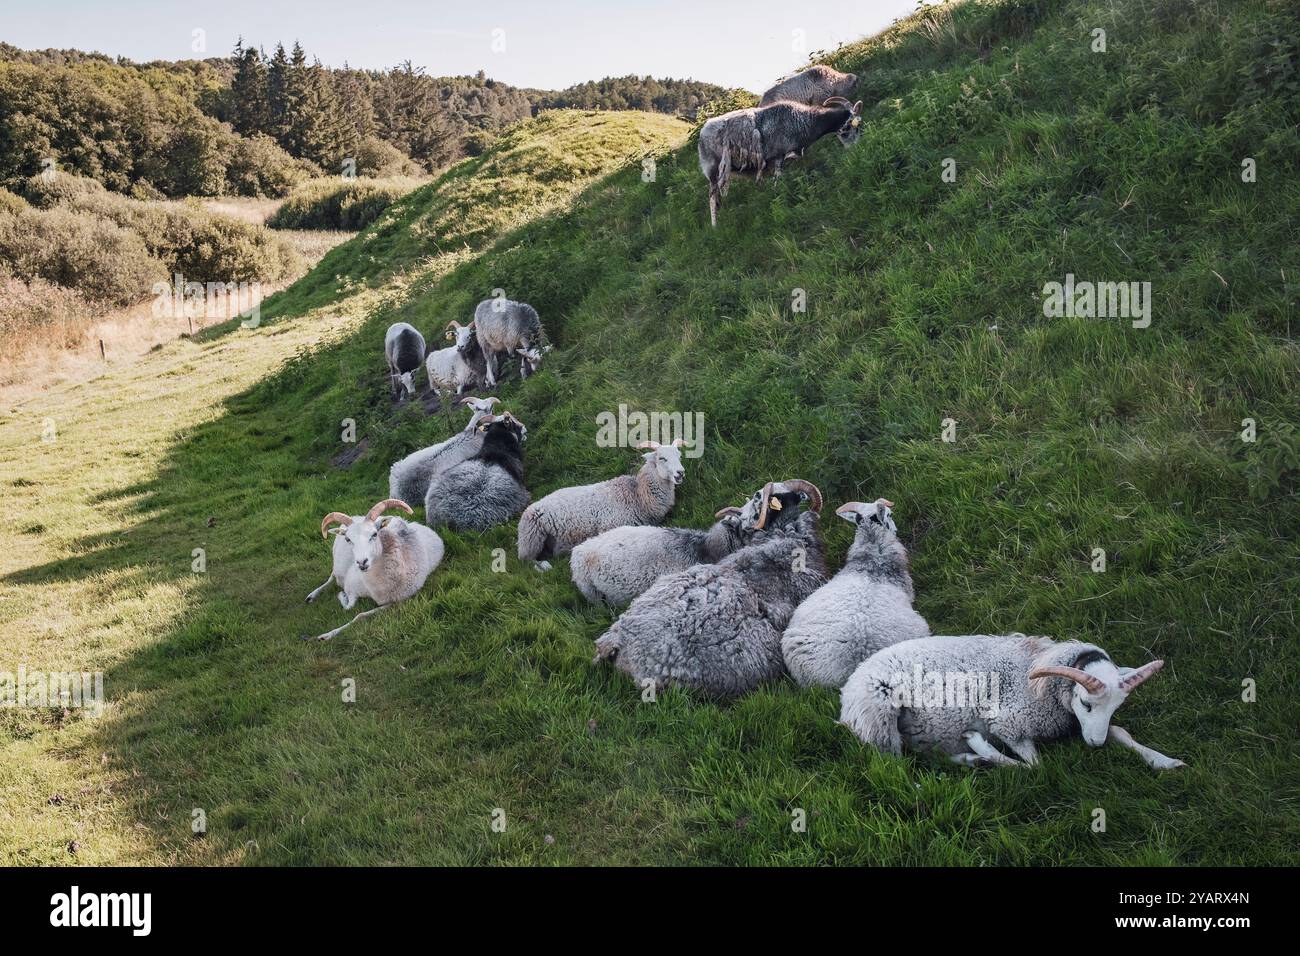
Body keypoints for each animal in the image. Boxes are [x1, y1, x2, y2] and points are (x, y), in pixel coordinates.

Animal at [305, 499, 444, 642]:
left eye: (374, 534)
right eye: (348, 539)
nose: (362, 562)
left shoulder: (396, 602)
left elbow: (359, 615)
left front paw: (328, 633)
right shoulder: (351, 585)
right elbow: (349, 607)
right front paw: (327, 634)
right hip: (338, 565)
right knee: (332, 576)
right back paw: (312, 595)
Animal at [517, 439, 686, 572]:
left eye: (679, 456)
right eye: (662, 458)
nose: (680, 473)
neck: (638, 495)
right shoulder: (610, 526)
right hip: (531, 536)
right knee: (526, 561)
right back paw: (544, 566)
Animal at [698, 96, 864, 227]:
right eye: (850, 126)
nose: (855, 149)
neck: (804, 120)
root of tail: (701, 135)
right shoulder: (778, 156)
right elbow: (778, 180)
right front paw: (779, 200)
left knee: (717, 198)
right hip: (713, 169)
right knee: (712, 197)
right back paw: (715, 226)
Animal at [838, 634, 1187, 771]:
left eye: (1115, 707)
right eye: (1087, 703)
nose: (1095, 745)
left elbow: (1120, 732)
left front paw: (1165, 761)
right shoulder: (1009, 723)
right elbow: (1034, 767)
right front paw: (980, 745)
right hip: (880, 720)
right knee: (898, 762)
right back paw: (973, 756)